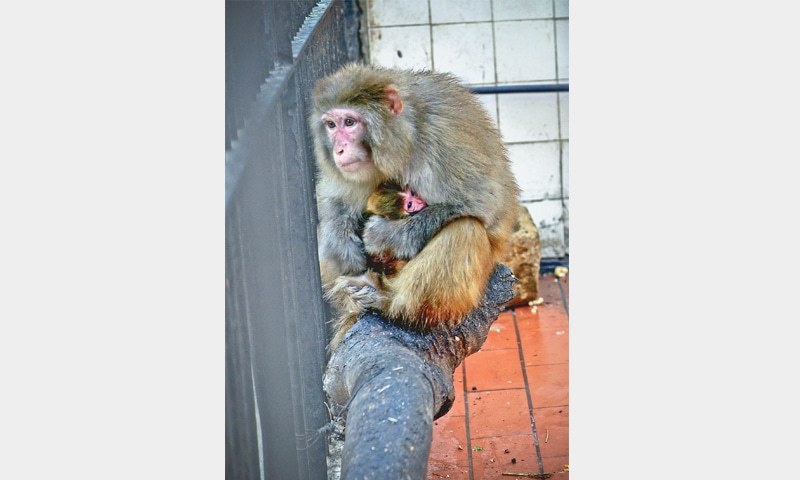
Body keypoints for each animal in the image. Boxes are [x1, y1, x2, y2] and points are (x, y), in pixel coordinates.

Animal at [309, 63, 520, 350]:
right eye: (331, 125)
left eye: (350, 122)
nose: (339, 150)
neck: (405, 137)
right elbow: (332, 196)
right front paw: (341, 242)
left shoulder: (442, 139)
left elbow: (485, 203)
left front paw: (385, 235)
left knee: (465, 229)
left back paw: (391, 303)